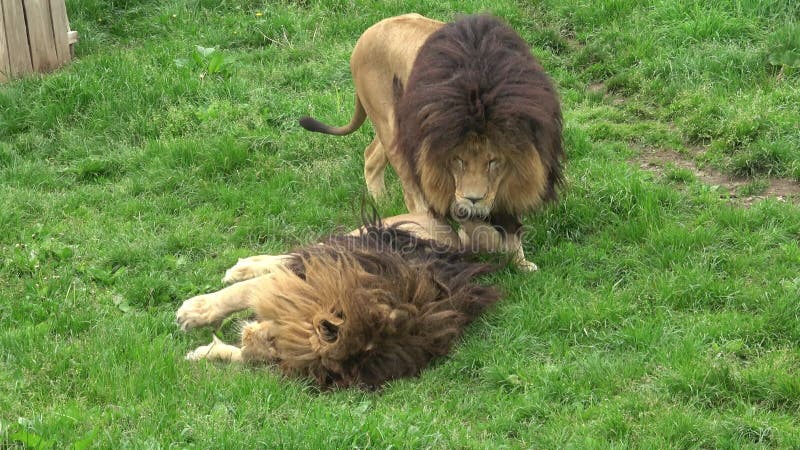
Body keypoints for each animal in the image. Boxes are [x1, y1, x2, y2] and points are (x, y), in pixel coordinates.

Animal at [176, 213, 501, 389]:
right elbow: (243, 292)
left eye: (275, 344)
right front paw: (197, 311)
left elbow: (244, 351)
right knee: (294, 255)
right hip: (360, 239)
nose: (252, 335)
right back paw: (243, 267)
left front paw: (207, 350)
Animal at [299, 14, 564, 271]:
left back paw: (382, 202)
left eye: (493, 161)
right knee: (411, 192)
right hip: (391, 127)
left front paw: (520, 262)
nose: (473, 198)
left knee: (371, 155)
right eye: (457, 160)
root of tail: (367, 33)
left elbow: (508, 222)